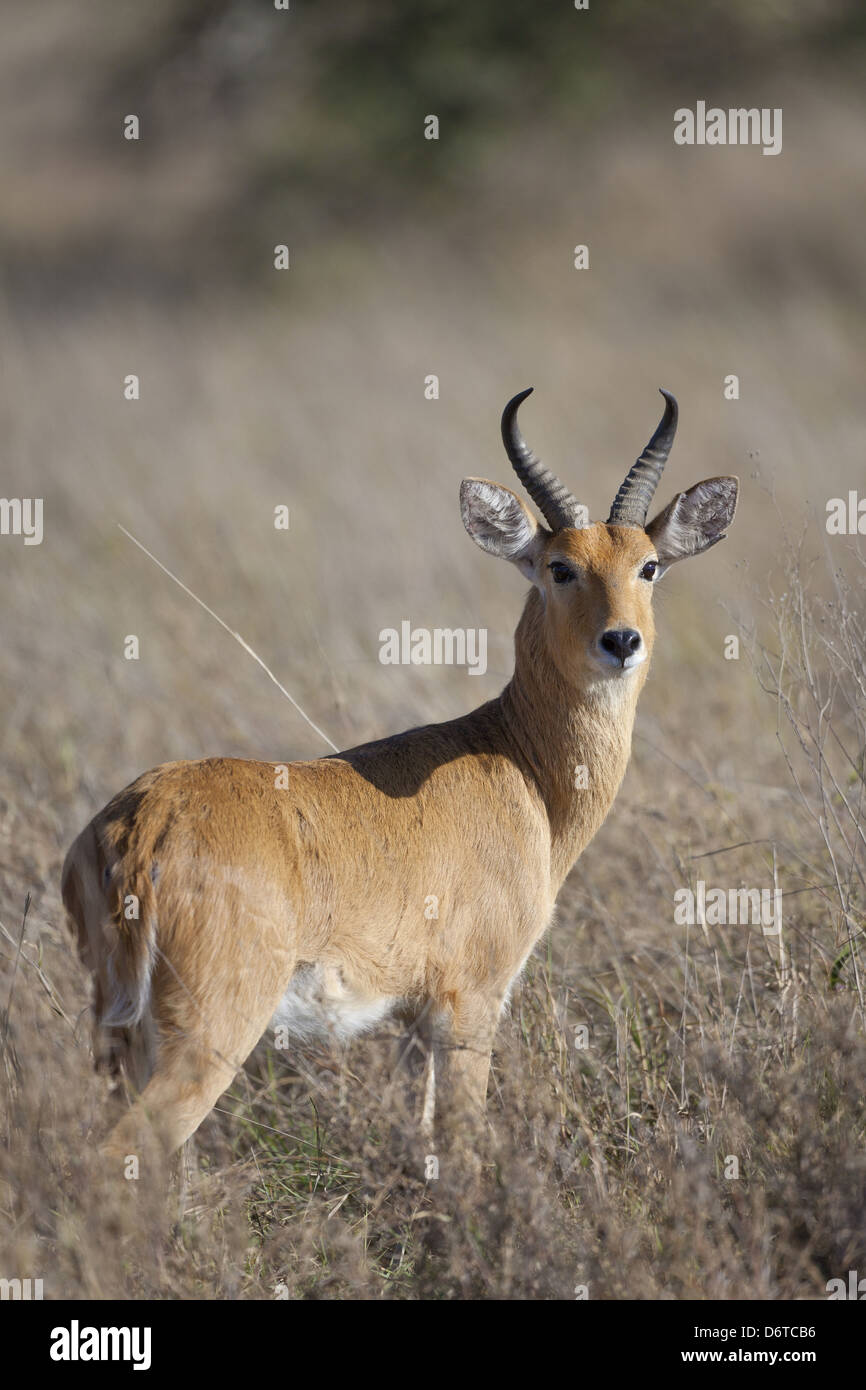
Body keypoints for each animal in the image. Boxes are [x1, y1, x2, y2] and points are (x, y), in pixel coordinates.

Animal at [62, 388, 738, 1161]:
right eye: (560, 566)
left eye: (649, 565)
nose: (621, 641)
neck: (519, 766)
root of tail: (138, 826)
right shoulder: (470, 1002)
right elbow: (463, 1143)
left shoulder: (414, 1021)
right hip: (210, 1035)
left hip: (123, 1037)